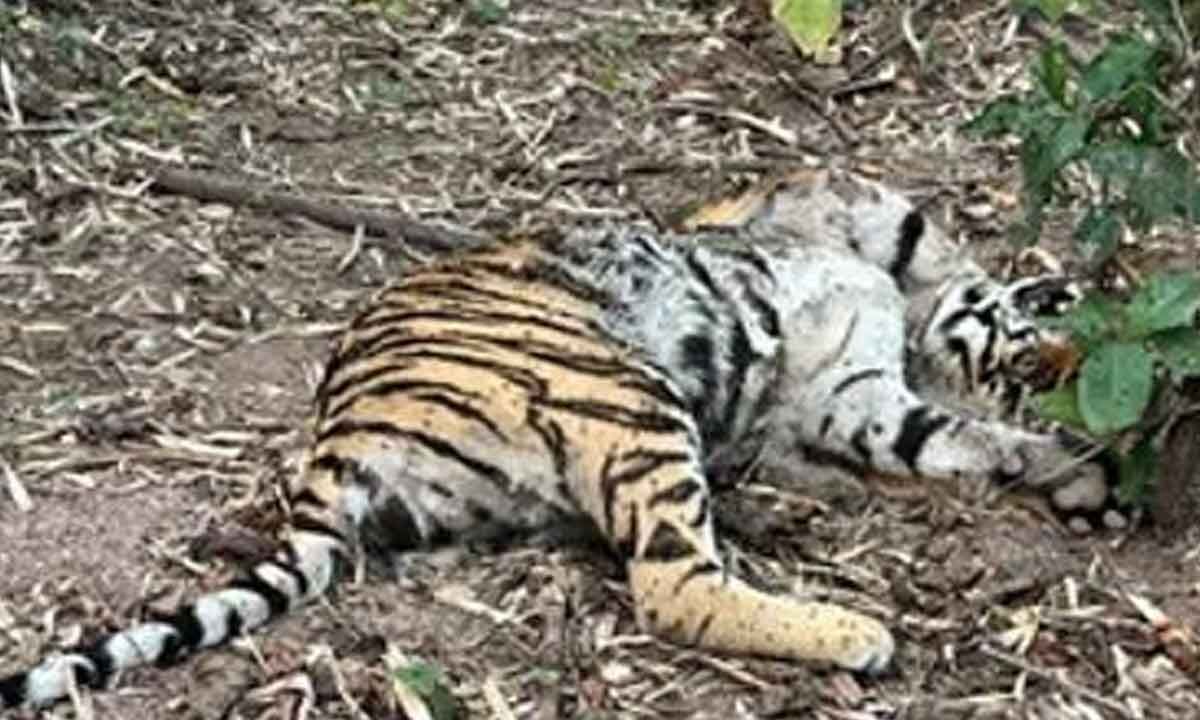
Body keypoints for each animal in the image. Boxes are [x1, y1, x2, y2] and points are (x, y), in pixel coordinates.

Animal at [0, 168, 1125, 711]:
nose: (1049, 362)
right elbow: (923, 239)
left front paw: (1072, 471)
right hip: (627, 391)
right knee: (672, 588)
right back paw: (855, 634)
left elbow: (951, 435)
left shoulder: (855, 396)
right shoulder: (825, 206)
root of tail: (336, 444)